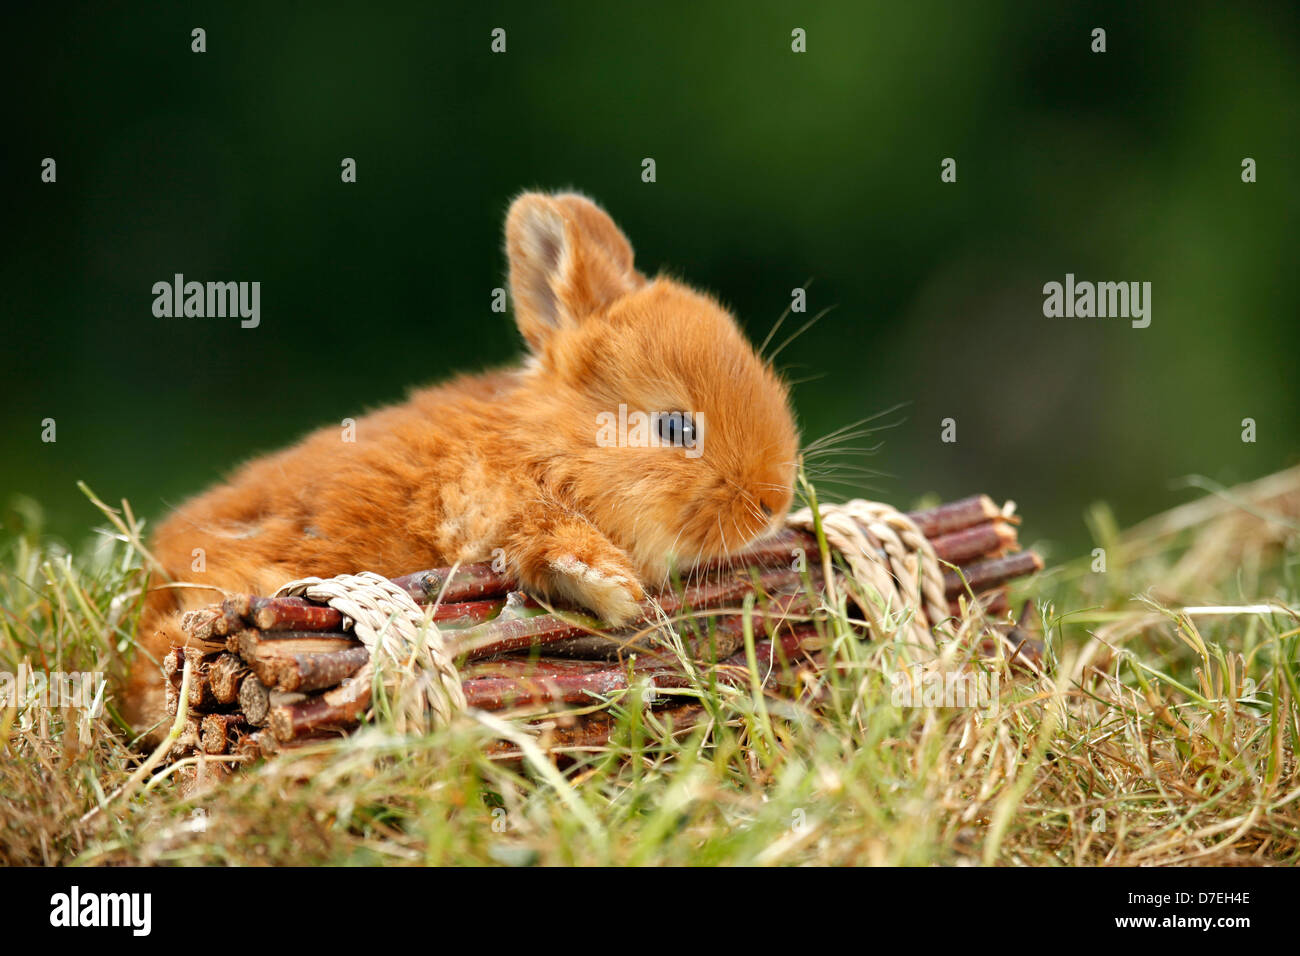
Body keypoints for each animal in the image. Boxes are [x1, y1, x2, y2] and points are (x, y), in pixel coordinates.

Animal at [123, 191, 800, 737]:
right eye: (677, 428)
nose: (774, 504)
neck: (546, 444)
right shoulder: (490, 501)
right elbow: (543, 536)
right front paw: (612, 587)